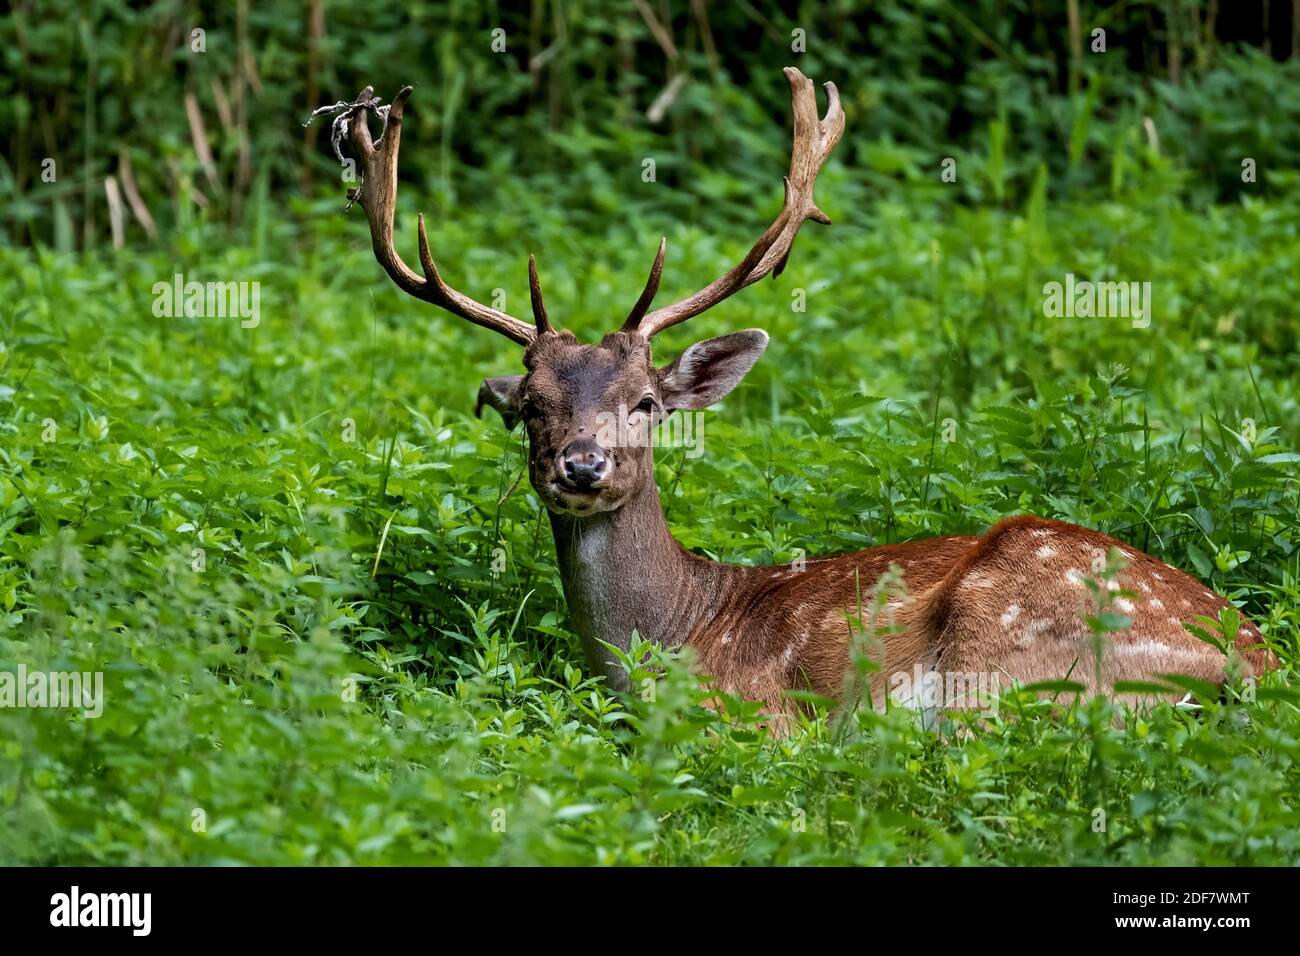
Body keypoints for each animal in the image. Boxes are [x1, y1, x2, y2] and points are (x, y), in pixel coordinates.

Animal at [327, 68, 1275, 732]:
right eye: (527, 403)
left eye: (647, 402)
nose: (583, 466)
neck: (678, 635)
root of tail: (1261, 671)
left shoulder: (757, 715)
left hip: (1005, 659)